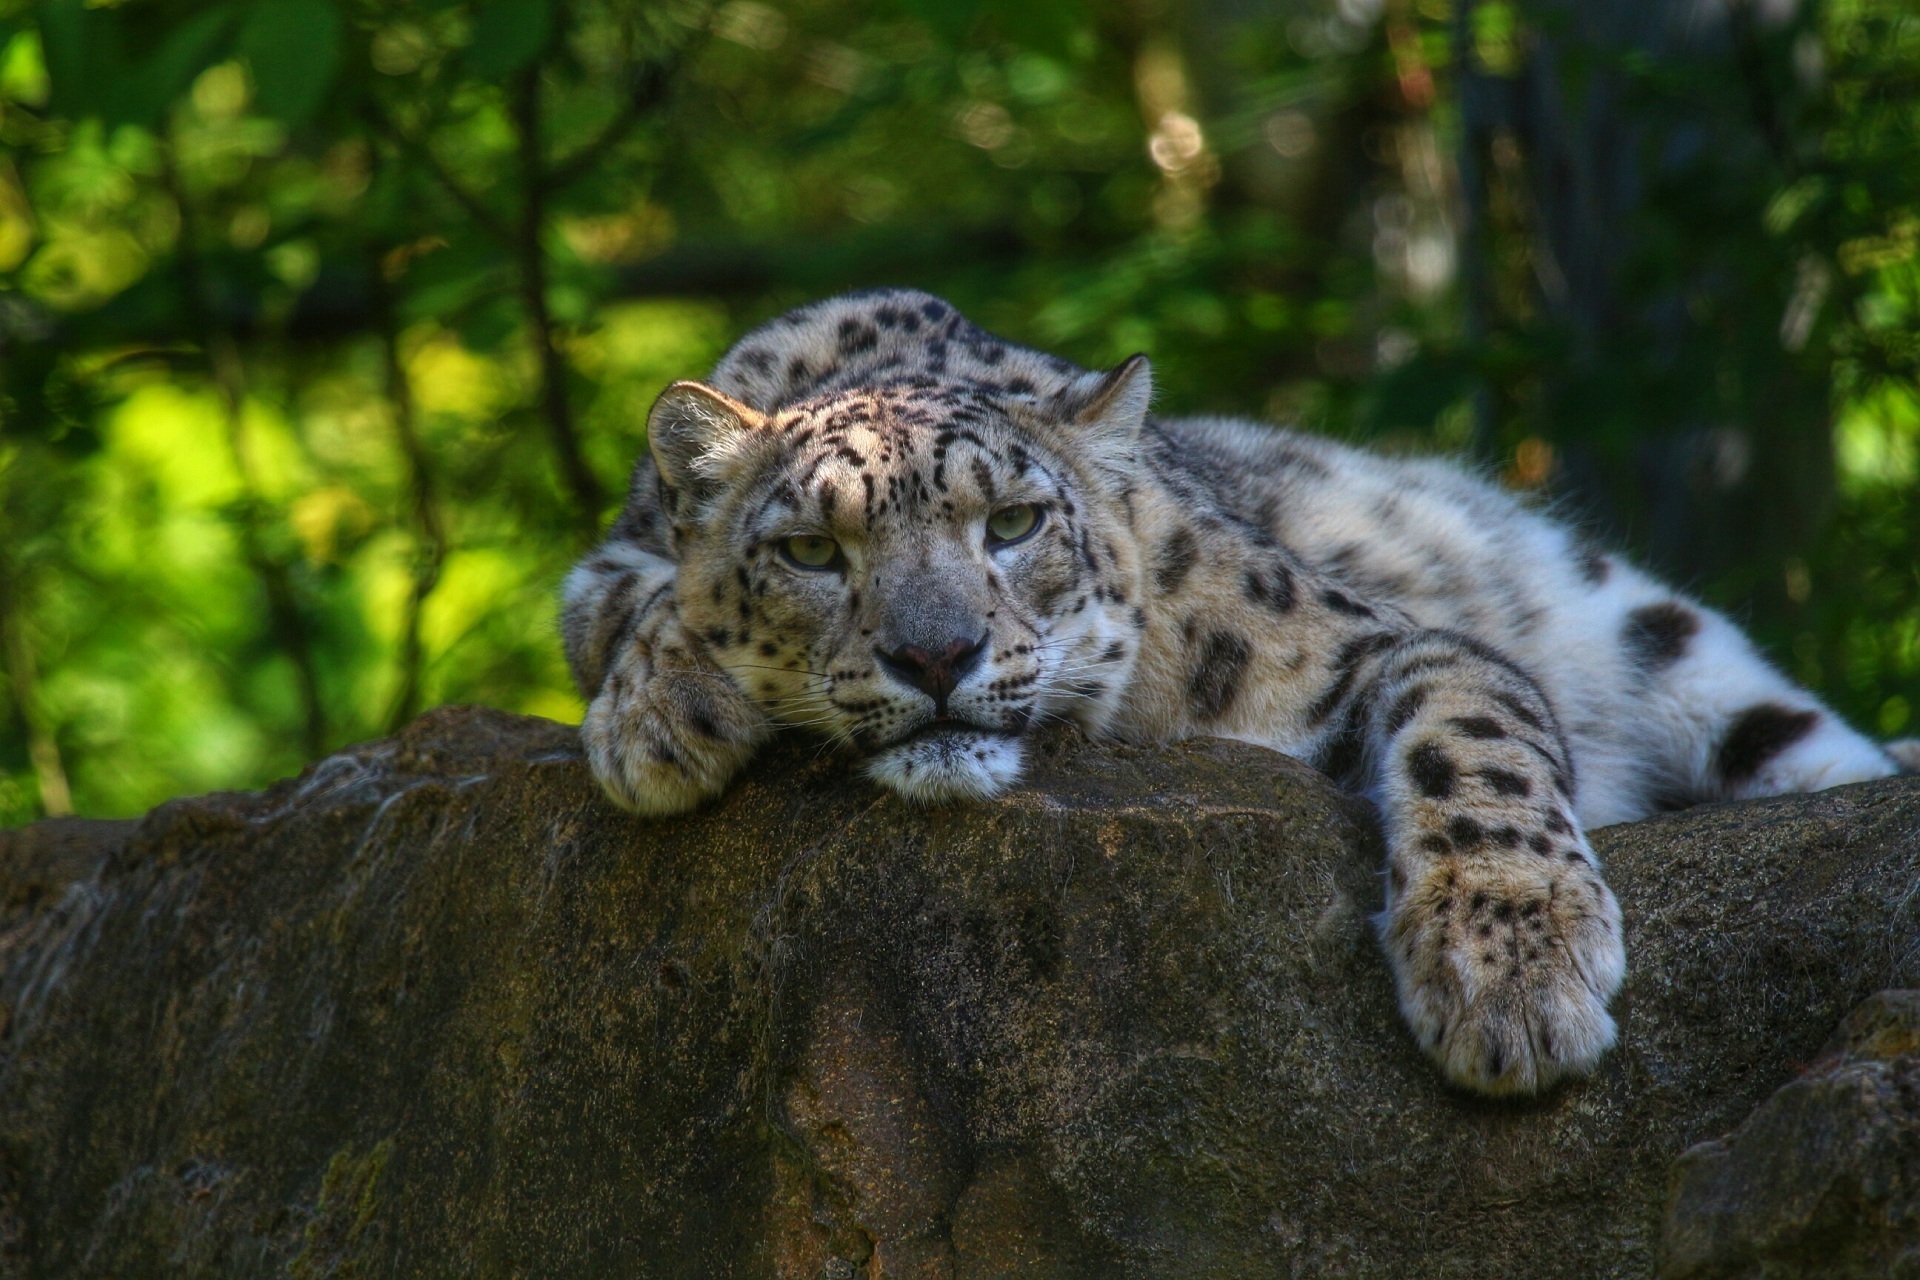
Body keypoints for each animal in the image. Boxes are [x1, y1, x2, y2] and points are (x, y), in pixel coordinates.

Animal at [562, 287, 1918, 1097]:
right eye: (809, 550)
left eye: (1013, 522)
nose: (937, 656)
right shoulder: (600, 573)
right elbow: (637, 599)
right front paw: (655, 722)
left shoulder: (1376, 644)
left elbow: (1473, 738)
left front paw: (1513, 979)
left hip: (1659, 638)